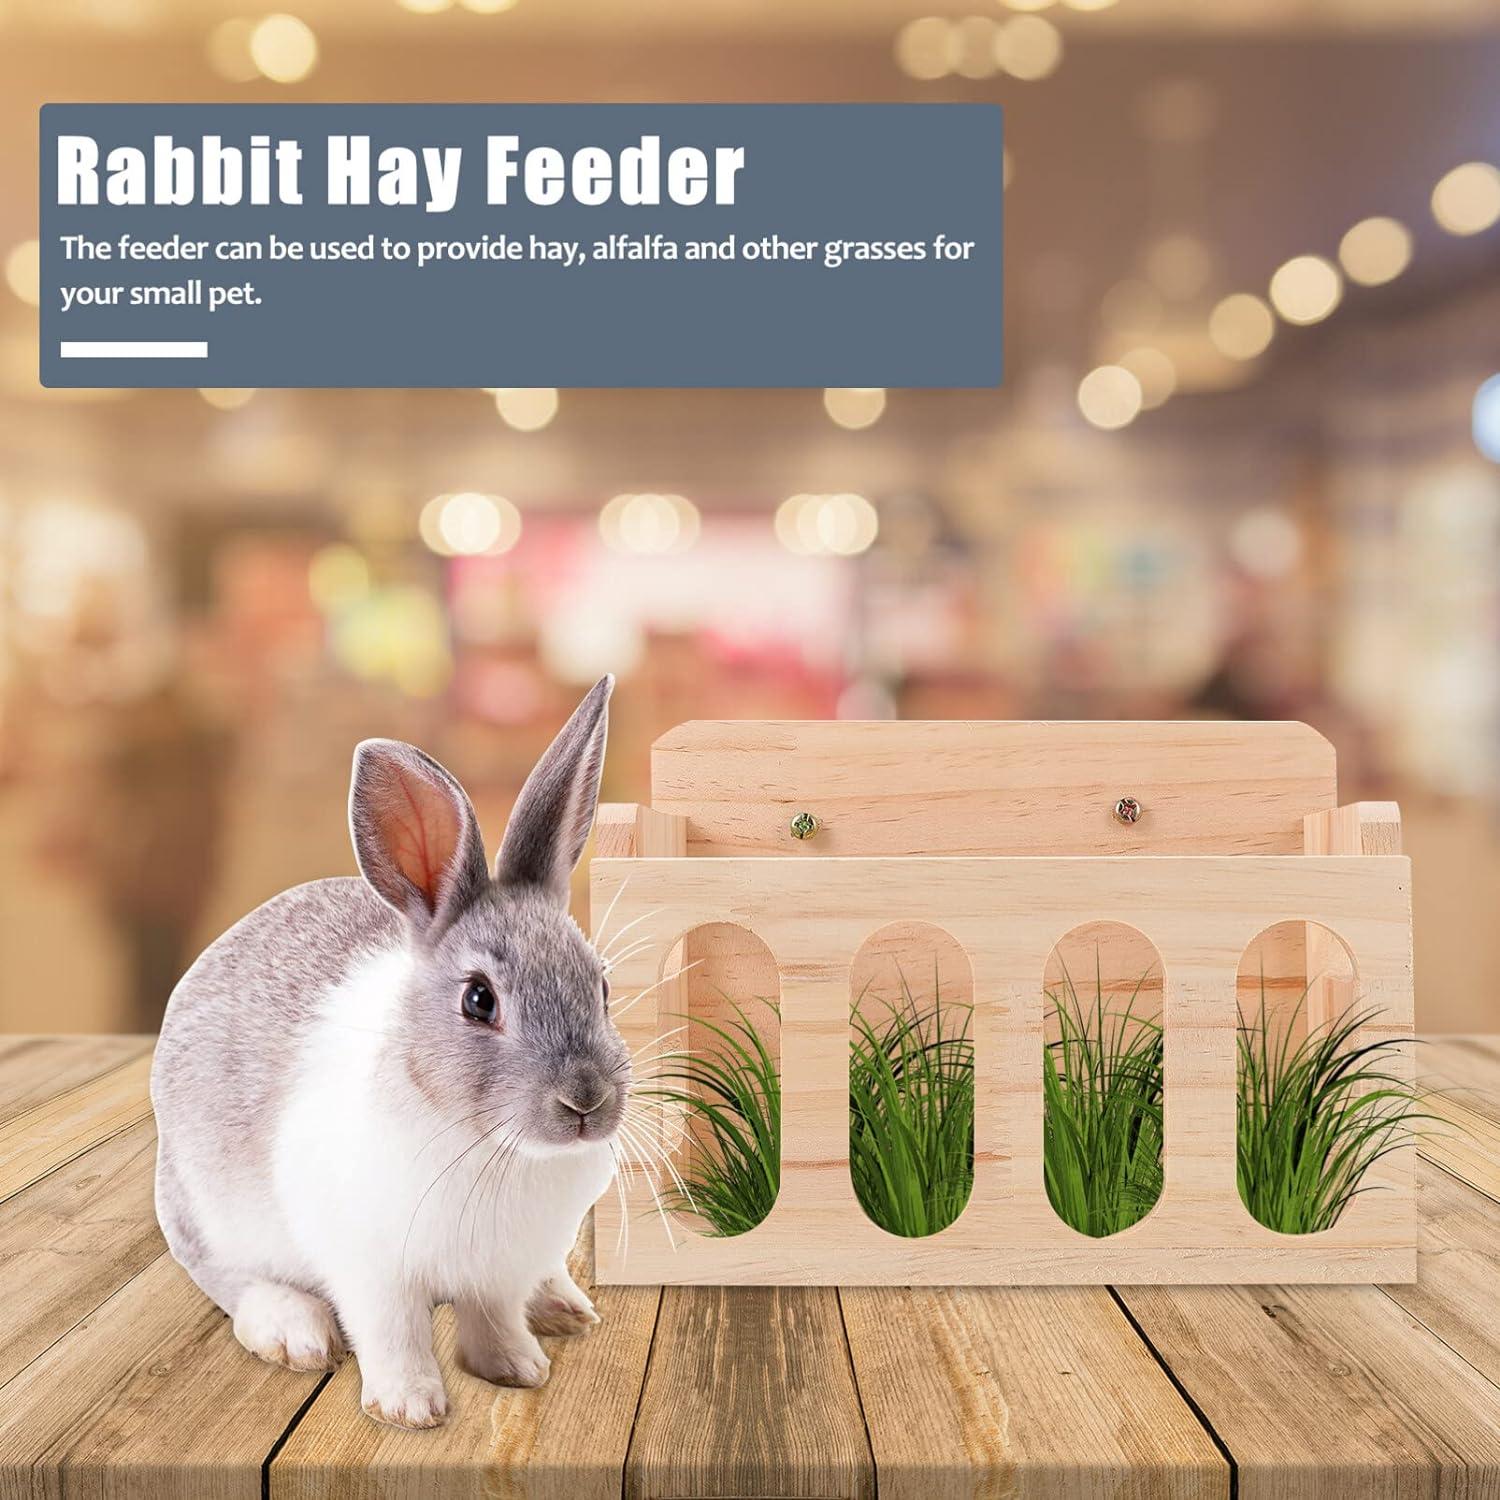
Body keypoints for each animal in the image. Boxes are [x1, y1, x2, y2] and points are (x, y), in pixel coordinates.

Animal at [151, 675, 629, 1429]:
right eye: (478, 1000)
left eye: (602, 985)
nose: (586, 1101)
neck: (491, 1148)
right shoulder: (371, 1268)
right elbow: (393, 1332)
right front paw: (410, 1409)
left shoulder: (498, 1272)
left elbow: (494, 1319)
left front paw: (518, 1369)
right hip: (205, 1210)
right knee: (227, 1277)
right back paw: (294, 1332)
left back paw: (562, 1307)